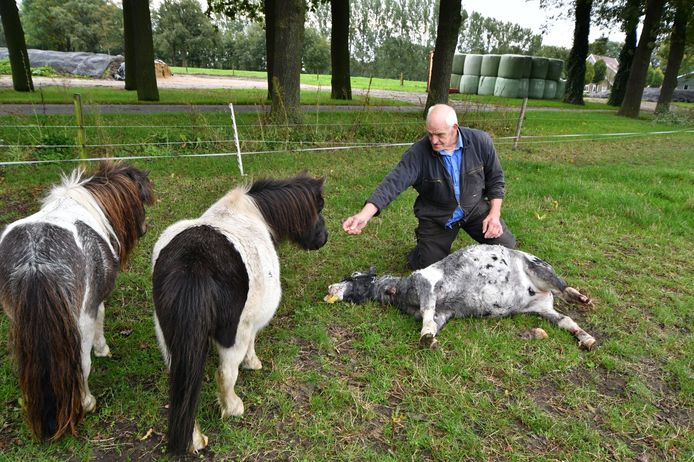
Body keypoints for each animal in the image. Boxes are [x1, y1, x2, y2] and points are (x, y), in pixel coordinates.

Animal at [0, 162, 155, 440]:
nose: (144, 228)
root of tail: (35, 261)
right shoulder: (95, 303)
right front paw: (103, 350)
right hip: (78, 324)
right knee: (81, 364)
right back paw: (87, 403)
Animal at [151, 173, 328, 454]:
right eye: (318, 208)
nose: (324, 238)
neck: (248, 212)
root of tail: (193, 263)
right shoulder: (250, 325)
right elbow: (251, 346)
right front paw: (252, 363)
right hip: (232, 336)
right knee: (225, 374)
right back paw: (233, 408)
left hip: (171, 340)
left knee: (184, 385)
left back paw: (194, 439)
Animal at [325, 244, 596, 350]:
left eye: (354, 277)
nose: (329, 286)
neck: (402, 290)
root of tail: (543, 296)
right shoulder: (444, 313)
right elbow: (433, 322)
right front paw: (429, 338)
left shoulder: (427, 284)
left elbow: (427, 313)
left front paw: (425, 336)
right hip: (543, 310)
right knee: (567, 321)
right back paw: (587, 339)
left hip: (540, 270)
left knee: (564, 288)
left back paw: (582, 298)